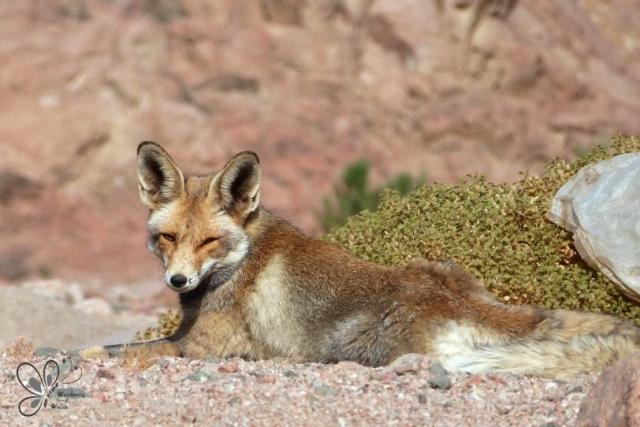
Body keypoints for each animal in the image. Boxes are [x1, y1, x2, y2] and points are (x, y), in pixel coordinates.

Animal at [97, 141, 640, 378]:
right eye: (167, 237)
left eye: (209, 241)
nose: (178, 281)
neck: (240, 259)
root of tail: (456, 297)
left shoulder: (204, 348)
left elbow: (118, 350)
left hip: (361, 346)